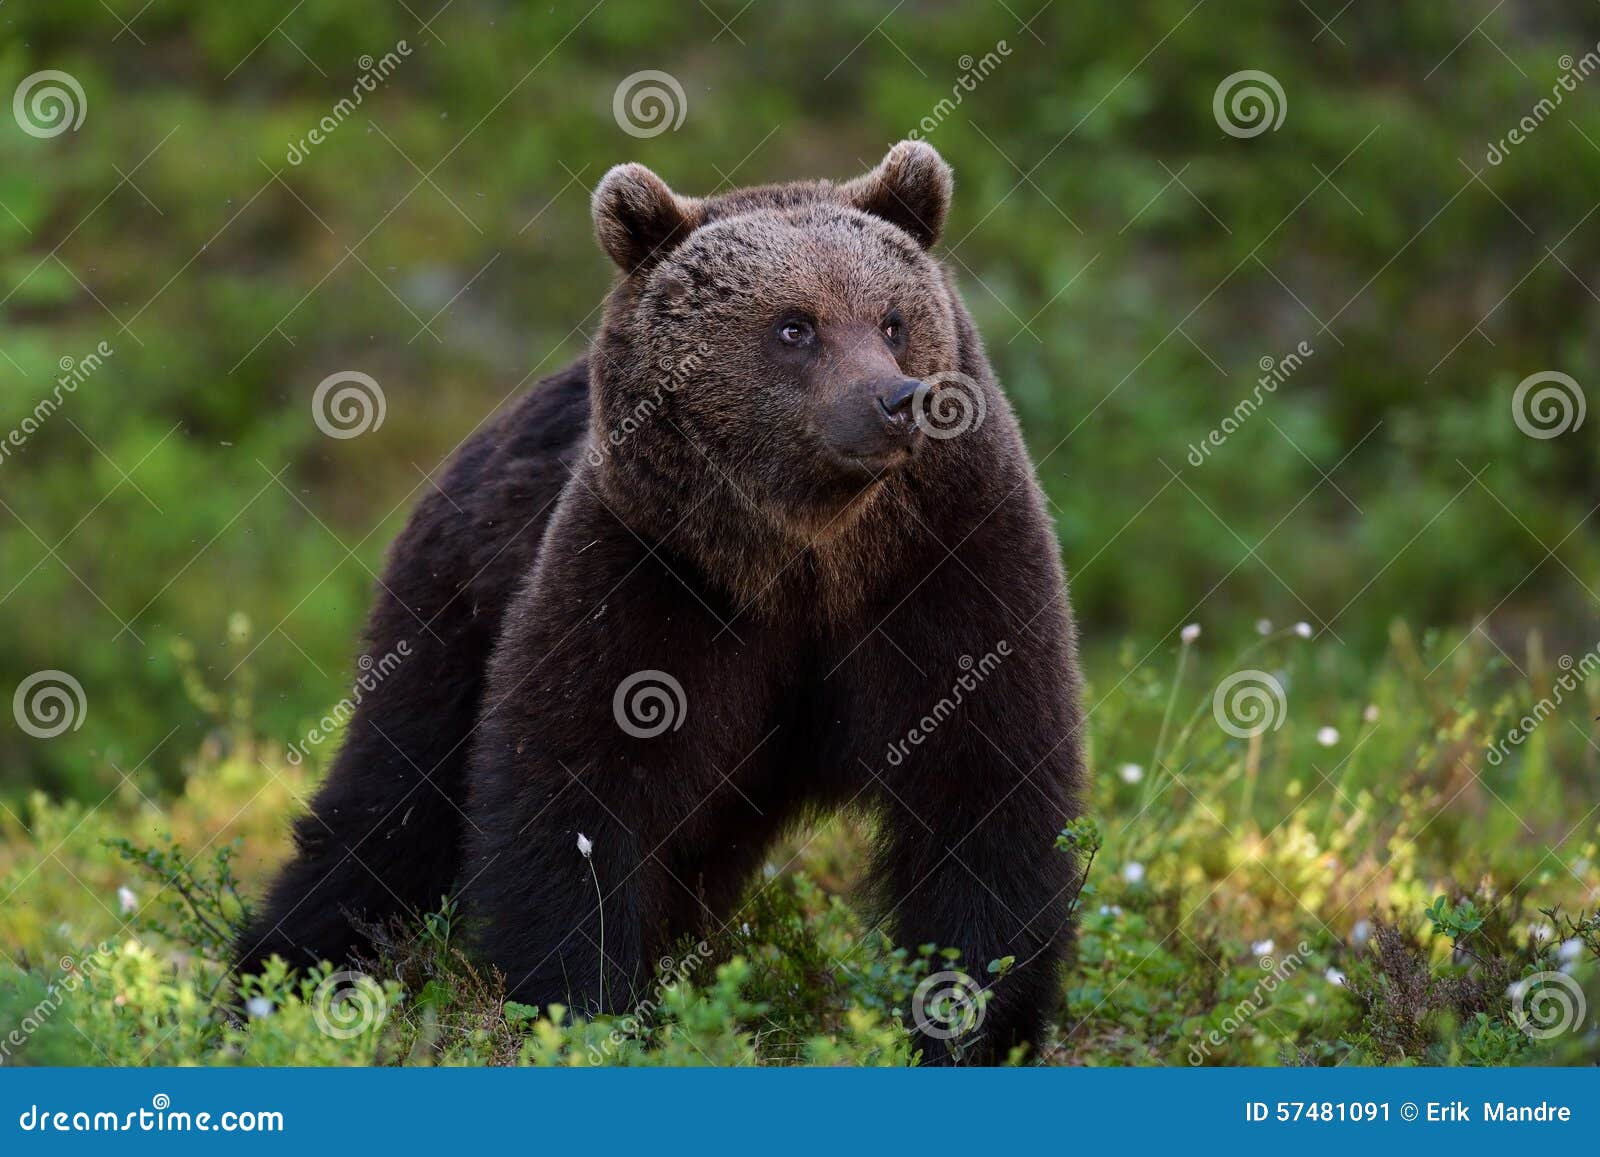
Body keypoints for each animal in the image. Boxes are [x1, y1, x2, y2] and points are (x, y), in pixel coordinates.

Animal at [234, 140, 1088, 1064]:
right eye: (795, 325)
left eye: (894, 319)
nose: (896, 399)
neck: (808, 559)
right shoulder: (650, 575)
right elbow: (574, 785)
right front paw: (583, 1003)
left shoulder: (947, 566)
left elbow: (987, 785)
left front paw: (972, 1021)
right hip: (452, 604)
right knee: (390, 802)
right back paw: (278, 975)